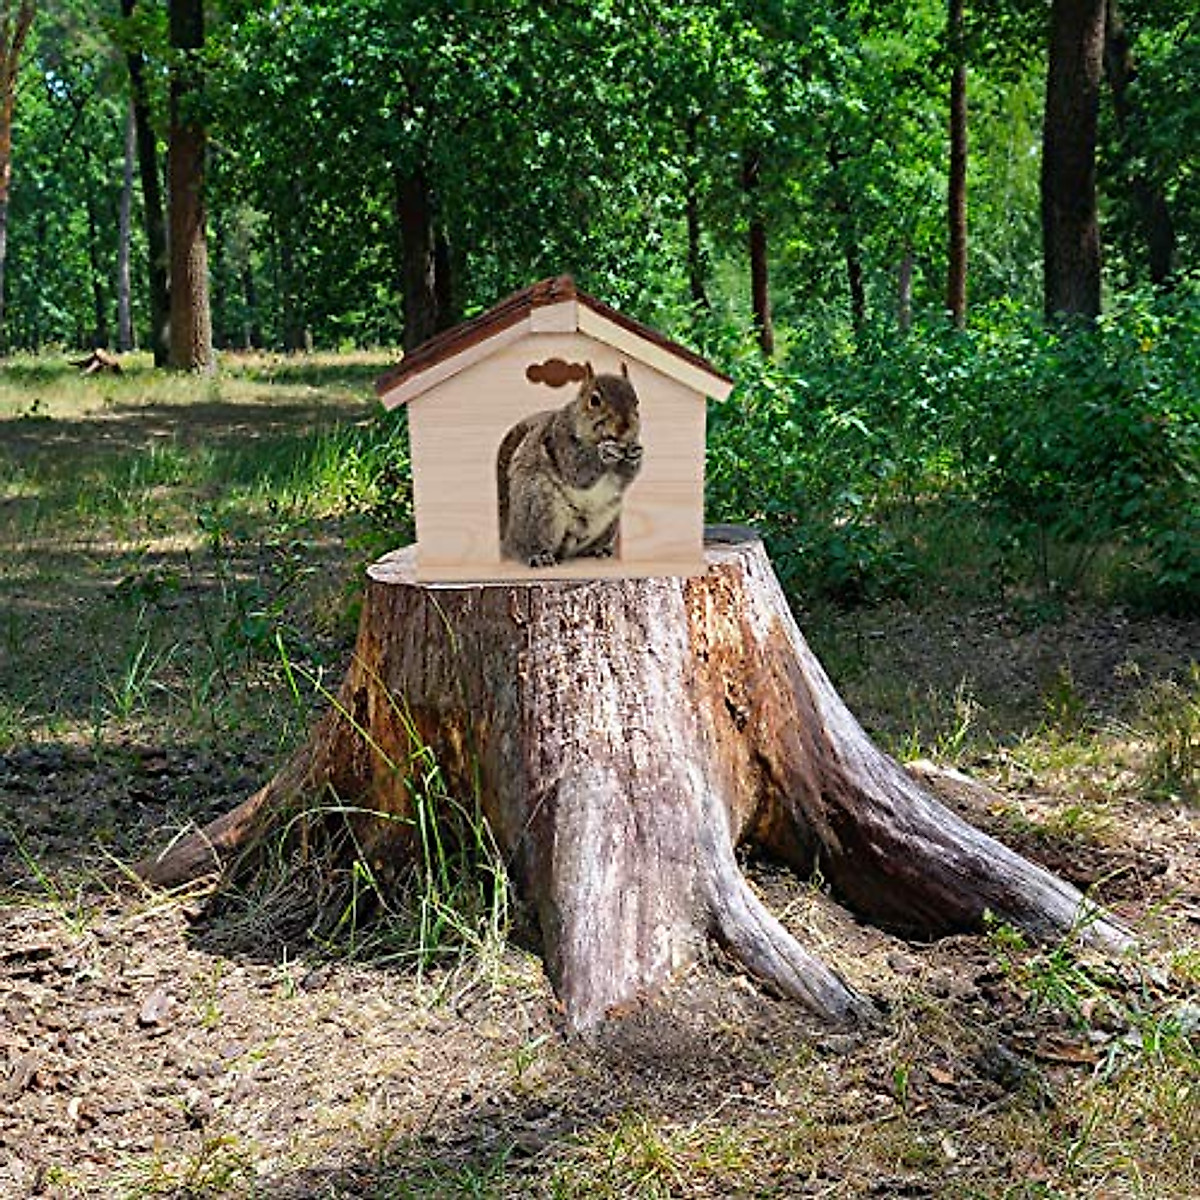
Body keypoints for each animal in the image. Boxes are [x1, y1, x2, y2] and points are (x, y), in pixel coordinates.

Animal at [497, 362, 643, 567]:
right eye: (594, 400)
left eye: (636, 402)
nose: (624, 427)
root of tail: (509, 538)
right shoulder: (561, 442)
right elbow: (576, 471)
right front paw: (604, 452)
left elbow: (626, 478)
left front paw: (635, 454)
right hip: (539, 507)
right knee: (528, 547)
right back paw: (539, 556)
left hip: (611, 517)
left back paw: (598, 550)